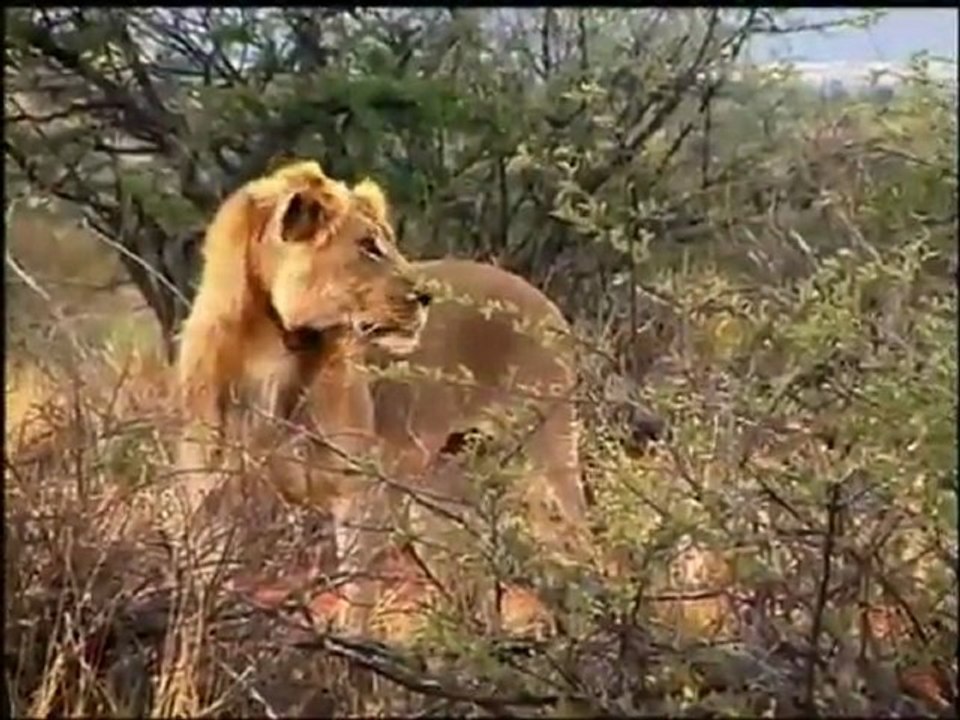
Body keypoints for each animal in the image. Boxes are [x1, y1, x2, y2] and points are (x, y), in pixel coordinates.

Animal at [169, 160, 432, 611]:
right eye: (368, 245)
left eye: (390, 242)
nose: (428, 295)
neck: (272, 348)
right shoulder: (208, 488)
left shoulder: (353, 487)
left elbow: (357, 588)